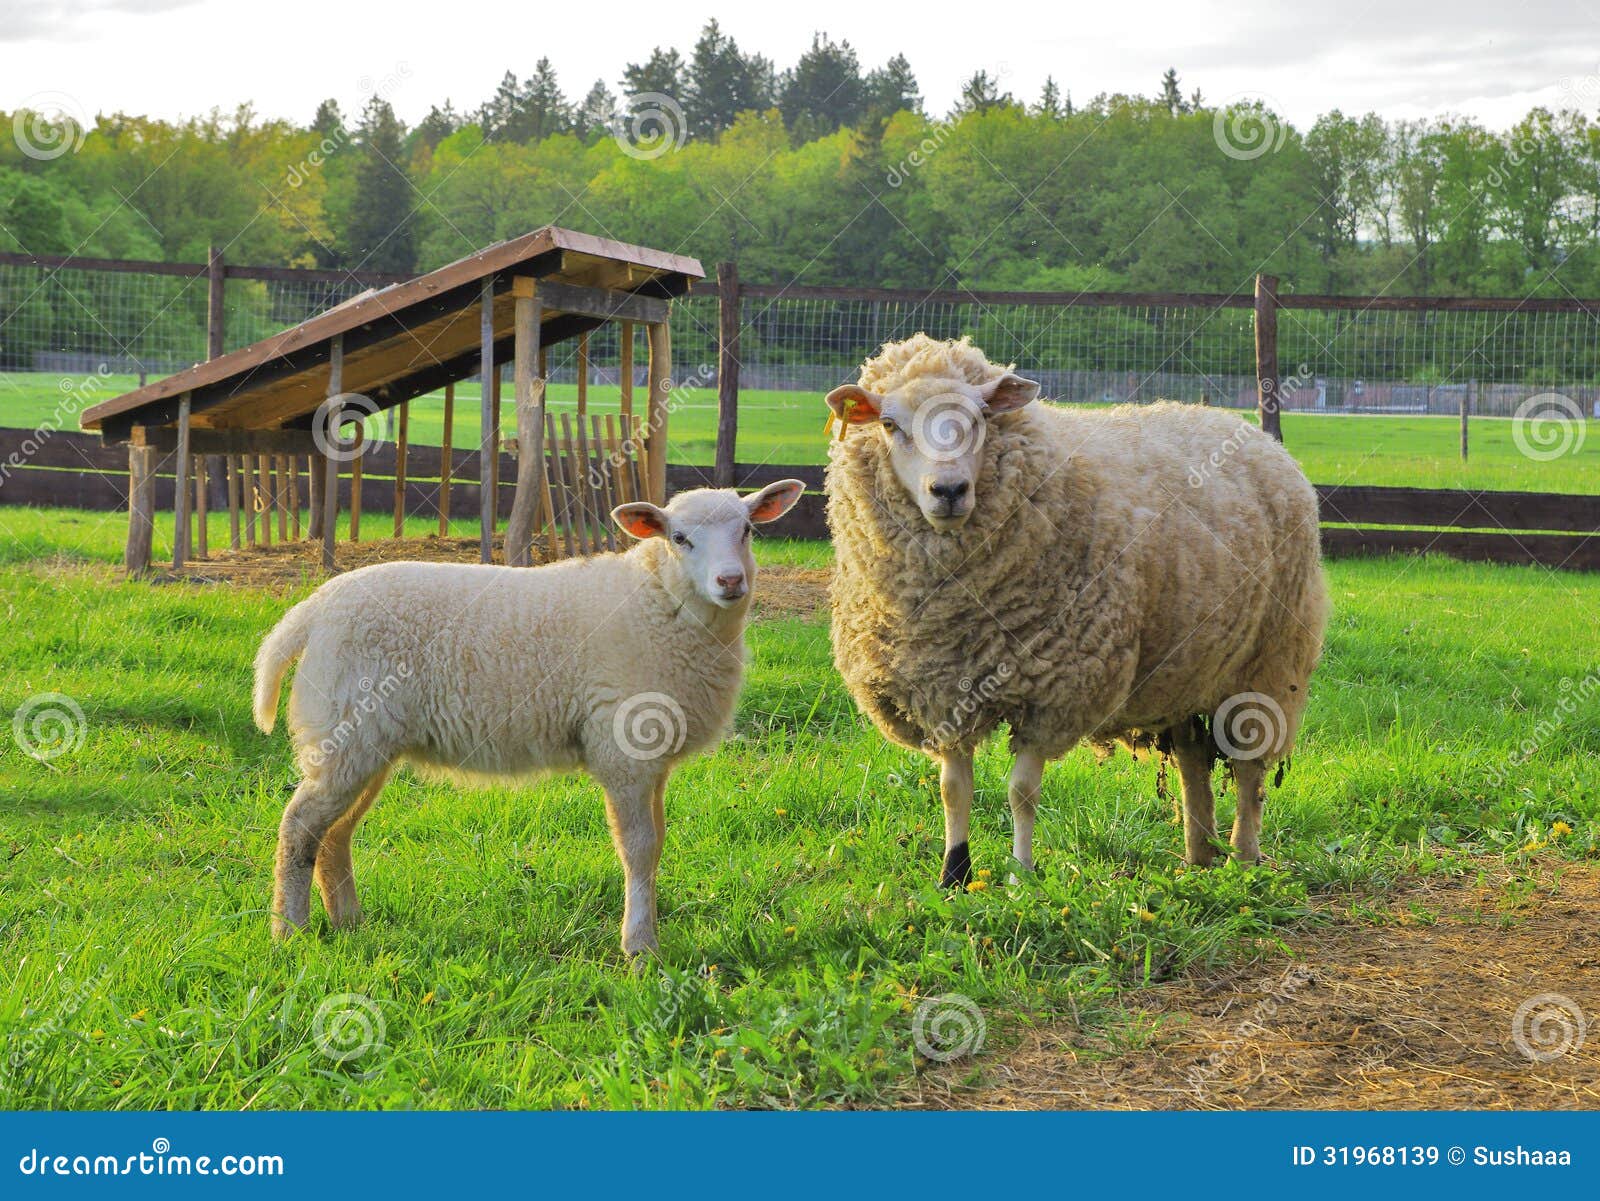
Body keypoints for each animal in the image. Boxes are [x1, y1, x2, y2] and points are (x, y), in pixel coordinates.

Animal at [251, 480, 805, 957]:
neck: (659, 600)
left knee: (334, 833)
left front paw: (645, 934)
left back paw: (348, 922)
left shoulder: (654, 761)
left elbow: (659, 844)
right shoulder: (622, 750)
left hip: (365, 741)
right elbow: (638, 848)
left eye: (747, 530)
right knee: (299, 827)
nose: (730, 580)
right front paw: (640, 947)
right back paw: (289, 933)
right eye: (679, 538)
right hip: (345, 729)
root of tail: (311, 611)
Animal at [823, 334, 1327, 884]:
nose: (949, 491)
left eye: (980, 418)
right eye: (890, 425)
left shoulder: (1053, 693)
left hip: (1270, 660)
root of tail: (1251, 433)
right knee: (1194, 759)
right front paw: (953, 875)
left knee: (1250, 765)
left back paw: (1243, 858)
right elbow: (953, 790)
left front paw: (1020, 874)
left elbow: (1021, 793)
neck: (954, 612)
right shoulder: (944, 689)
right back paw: (1198, 857)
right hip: (1188, 670)